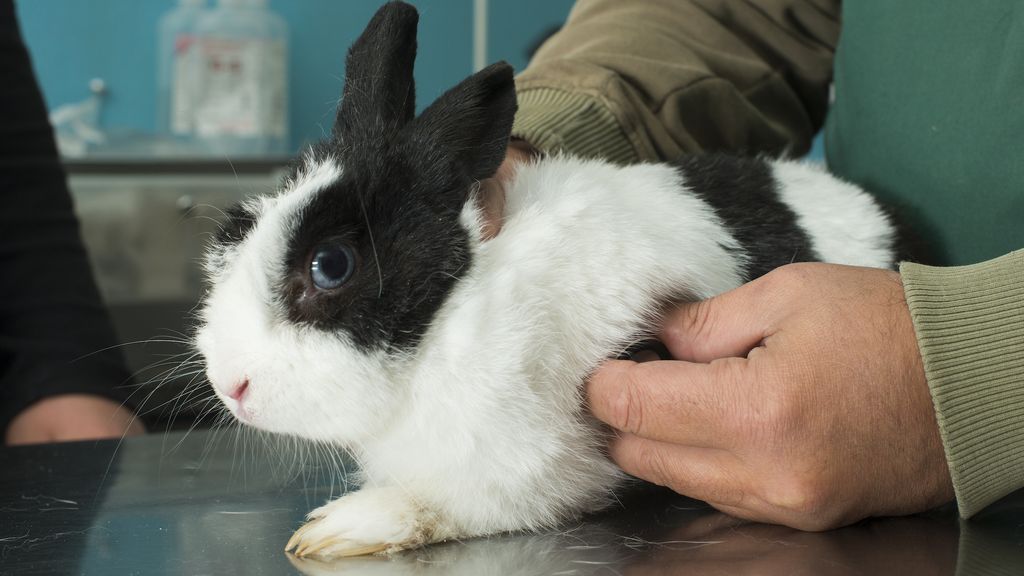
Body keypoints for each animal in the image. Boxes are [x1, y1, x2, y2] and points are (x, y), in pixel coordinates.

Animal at [195, 1, 899, 559]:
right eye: (239, 223)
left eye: (331, 265)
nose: (230, 386)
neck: (455, 318)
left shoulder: (535, 468)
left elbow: (459, 505)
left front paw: (341, 529)